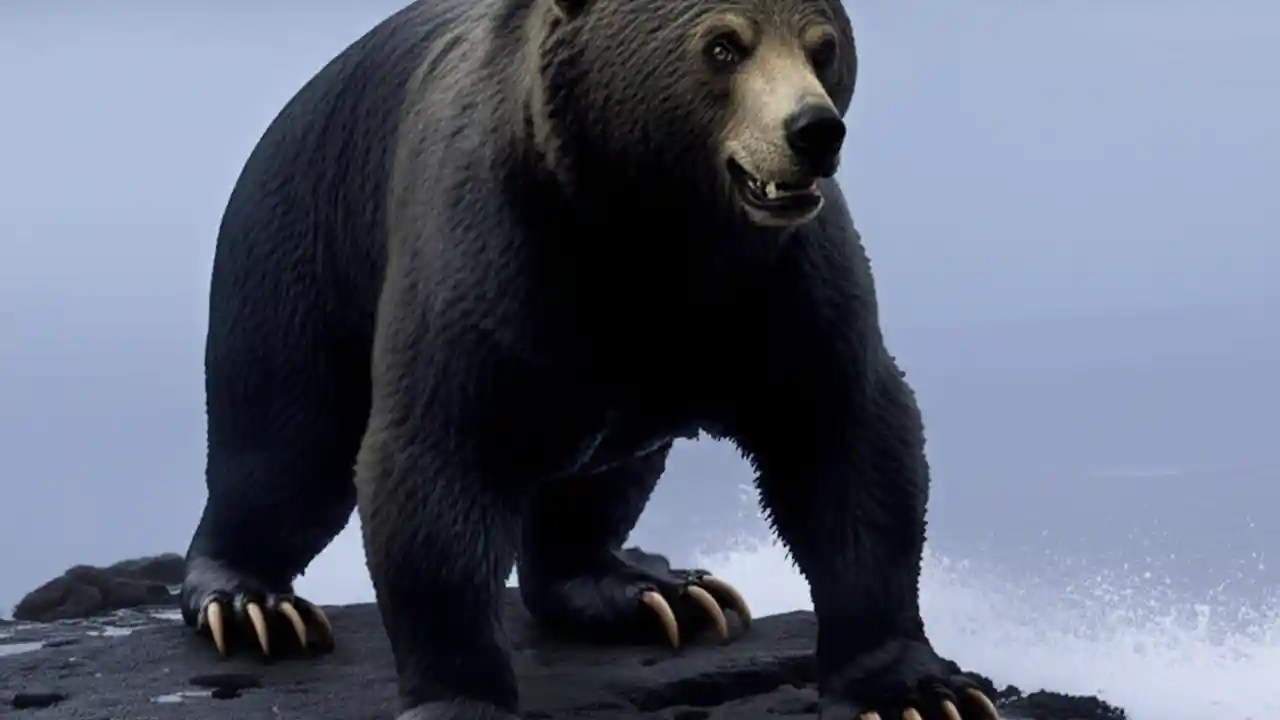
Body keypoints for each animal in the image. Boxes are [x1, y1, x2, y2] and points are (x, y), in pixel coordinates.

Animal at [178, 0, 1003, 719]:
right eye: (723, 45)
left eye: (822, 46)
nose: (814, 131)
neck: (646, 232)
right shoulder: (492, 248)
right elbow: (437, 460)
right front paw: (461, 697)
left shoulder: (778, 290)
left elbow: (848, 438)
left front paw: (920, 692)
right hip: (301, 243)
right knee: (287, 444)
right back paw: (252, 604)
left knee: (600, 479)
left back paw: (659, 593)